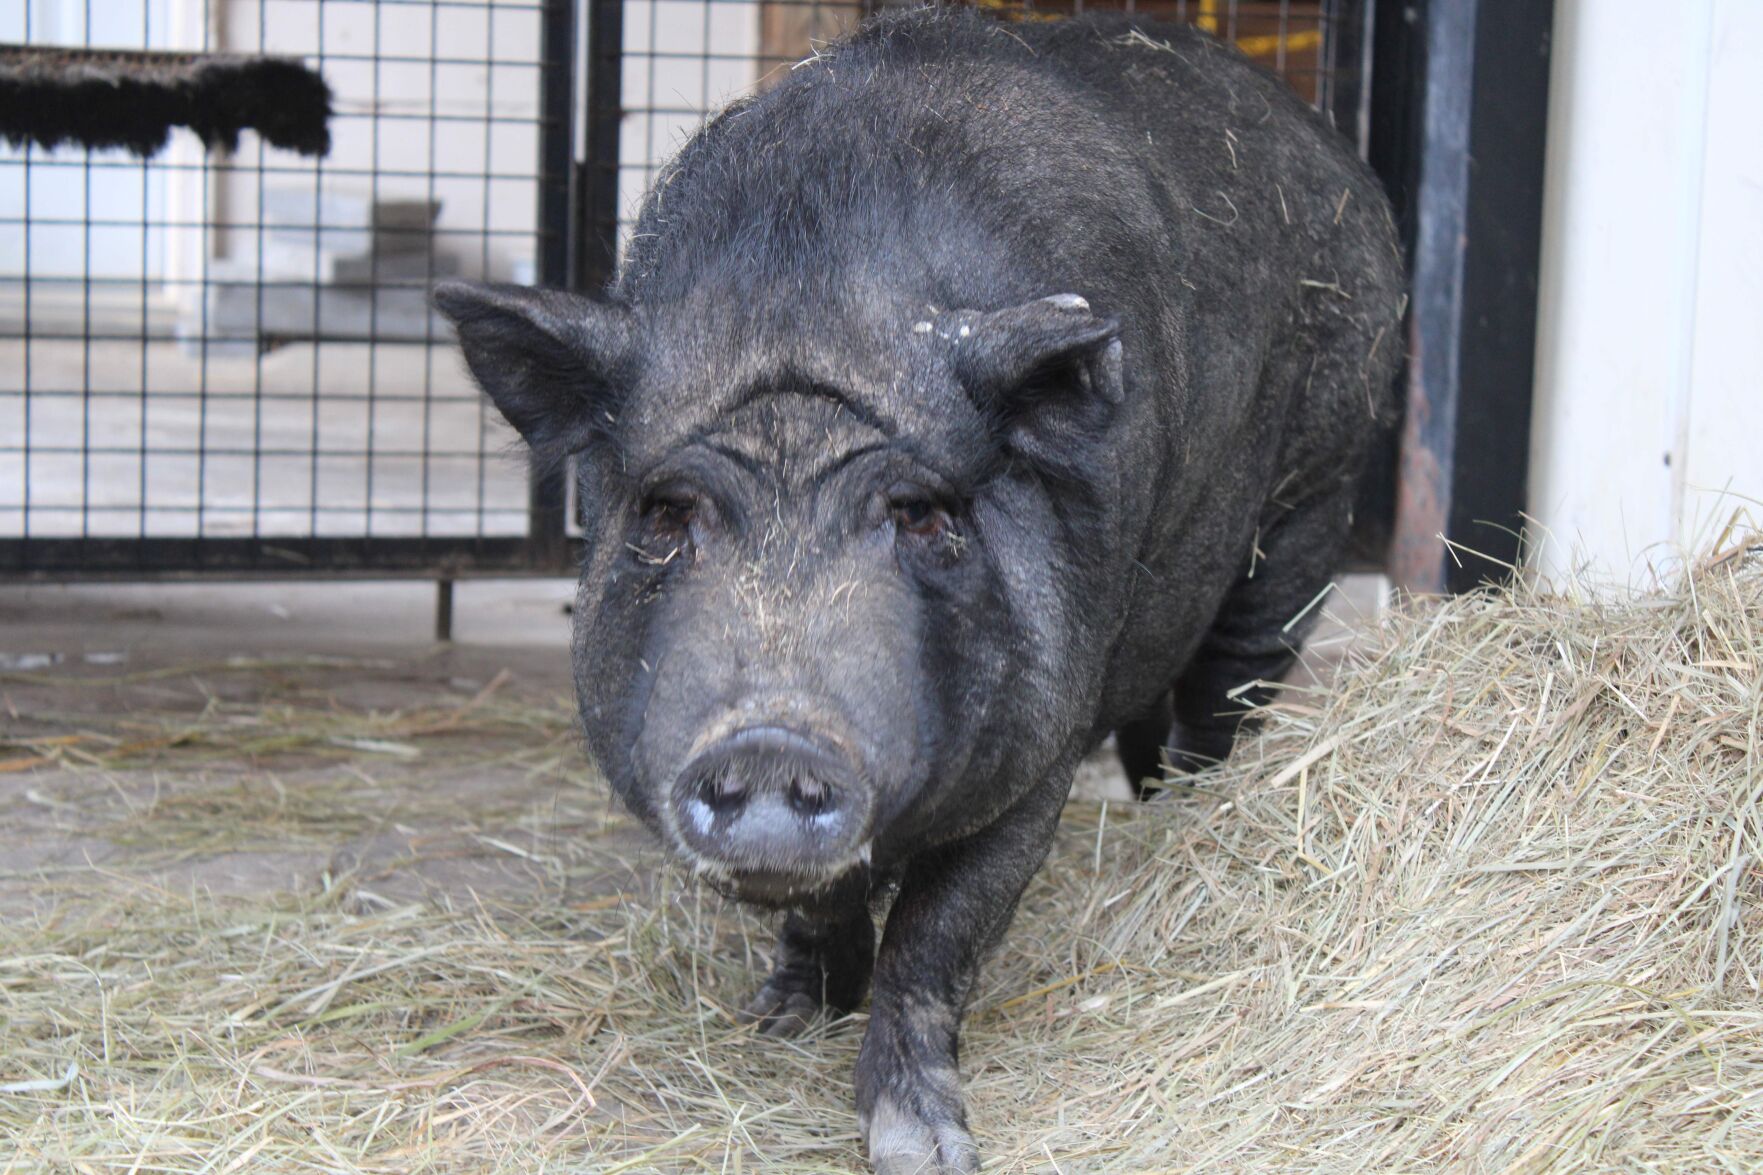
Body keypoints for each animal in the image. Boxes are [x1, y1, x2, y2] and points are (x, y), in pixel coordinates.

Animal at [435, 7, 1403, 1171]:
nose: (774, 737)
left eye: (922, 514)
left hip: (1316, 491)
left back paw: (1193, 816)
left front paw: (921, 1146)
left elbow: (938, 940)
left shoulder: (1036, 749)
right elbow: (830, 903)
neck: (812, 317)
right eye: (665, 514)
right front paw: (779, 1018)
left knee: (1233, 689)